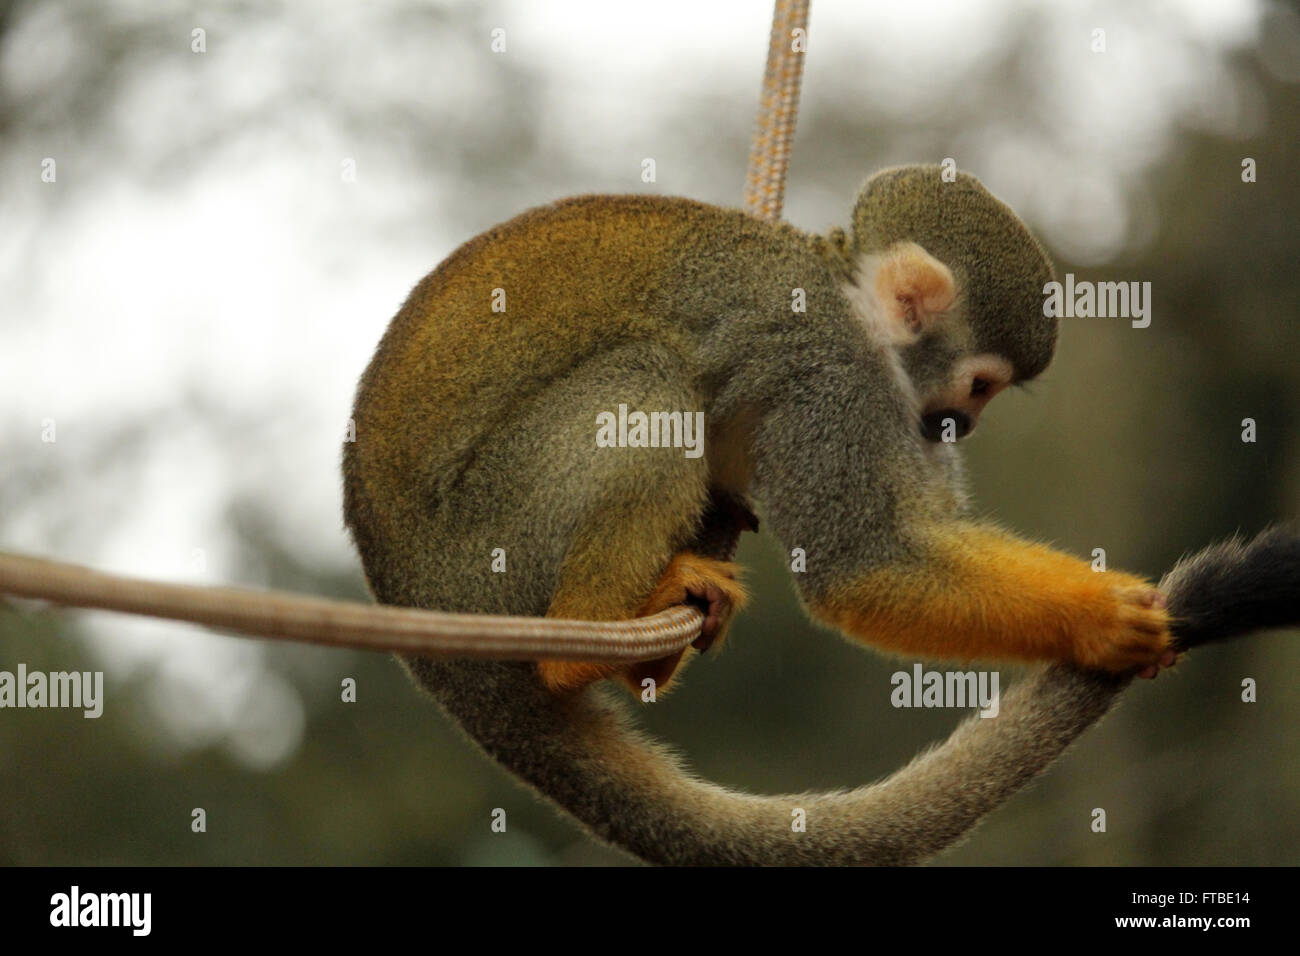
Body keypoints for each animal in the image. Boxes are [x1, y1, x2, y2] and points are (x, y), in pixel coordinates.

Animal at [343, 163, 1175, 701]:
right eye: (981, 386)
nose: (958, 425)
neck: (850, 298)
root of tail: (400, 579)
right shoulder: (836, 375)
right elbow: (860, 567)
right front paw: (1099, 618)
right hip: (488, 543)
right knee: (646, 378)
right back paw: (582, 647)